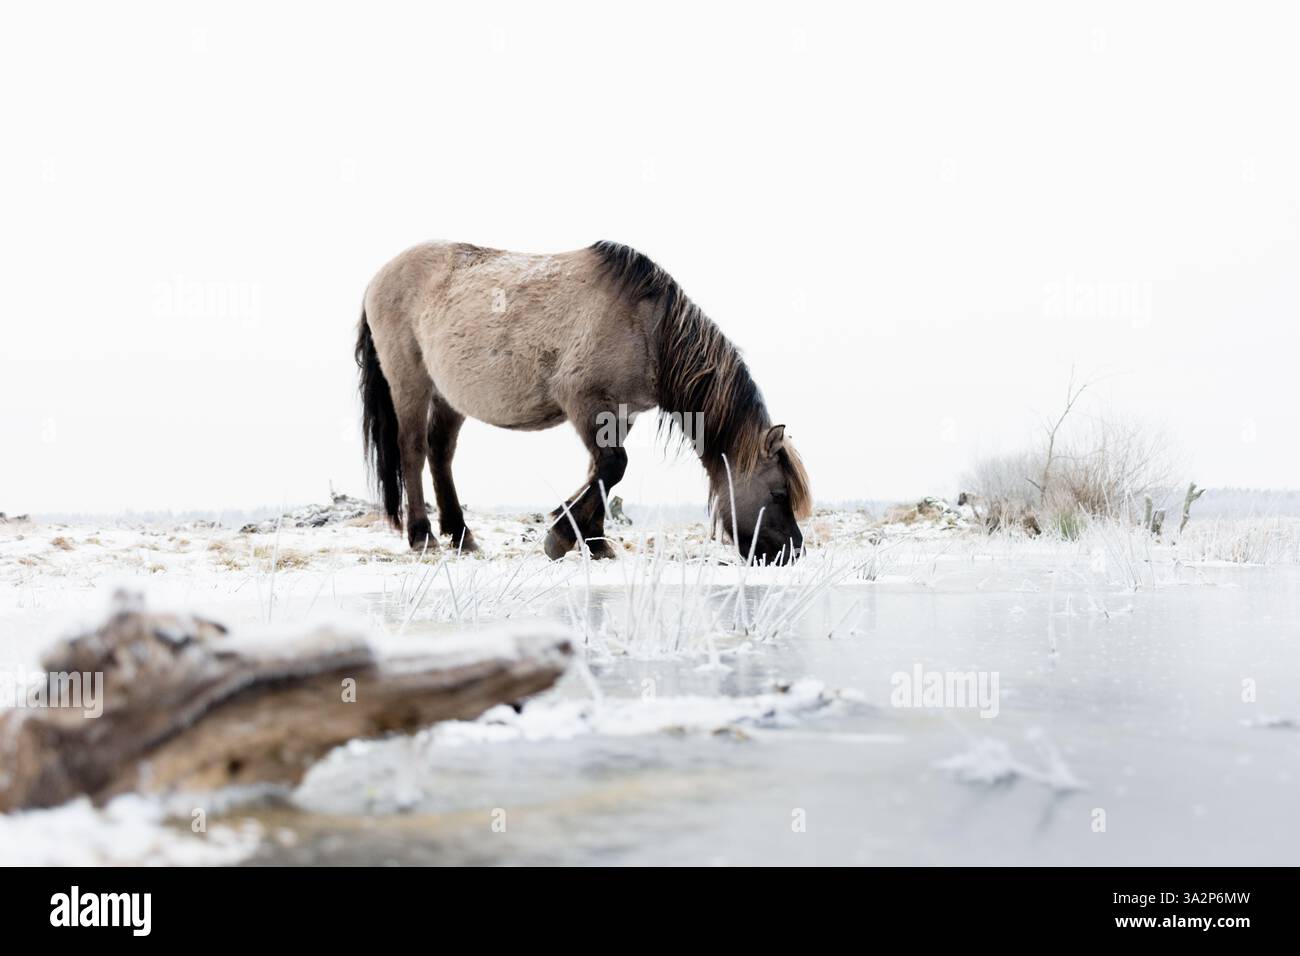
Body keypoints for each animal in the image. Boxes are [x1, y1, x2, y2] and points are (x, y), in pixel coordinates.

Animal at [355, 240, 811, 564]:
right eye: (778, 494)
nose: (792, 552)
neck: (648, 327)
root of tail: (378, 278)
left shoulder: (620, 414)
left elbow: (602, 471)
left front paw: (590, 537)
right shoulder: (585, 402)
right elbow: (612, 466)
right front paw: (562, 534)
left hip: (450, 397)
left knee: (440, 453)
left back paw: (462, 535)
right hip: (410, 381)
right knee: (412, 450)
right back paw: (422, 535)